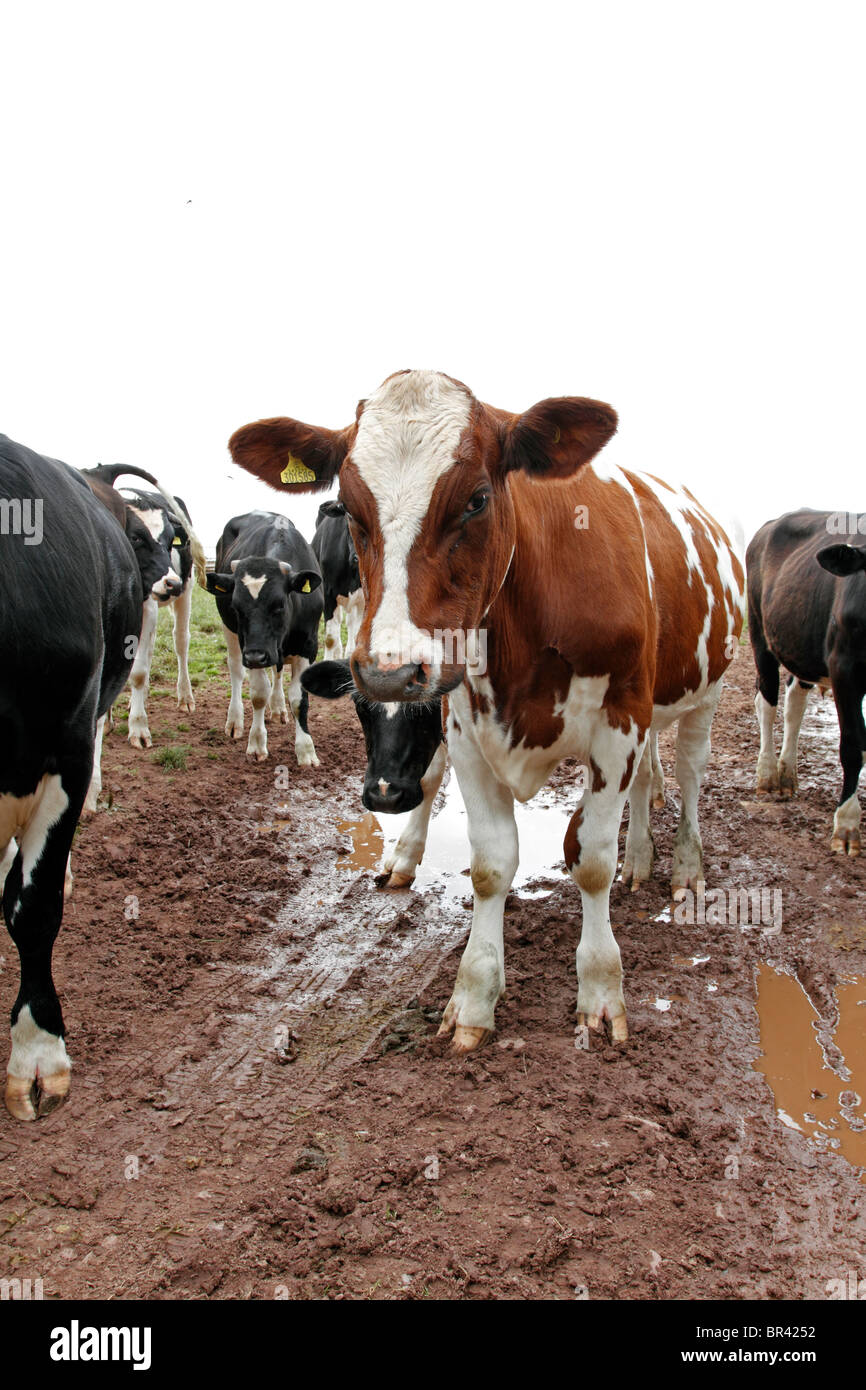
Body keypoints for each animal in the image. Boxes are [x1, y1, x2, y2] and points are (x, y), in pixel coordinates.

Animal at [206, 511, 323, 765]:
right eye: (237, 607)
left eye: (279, 605)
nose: (256, 657)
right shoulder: (249, 646)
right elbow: (259, 693)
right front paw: (257, 743)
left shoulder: (308, 645)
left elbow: (299, 699)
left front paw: (306, 749)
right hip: (233, 636)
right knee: (236, 671)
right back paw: (235, 720)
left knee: (277, 672)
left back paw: (278, 709)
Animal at [746, 509, 866, 856]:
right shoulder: (844, 668)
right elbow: (852, 744)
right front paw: (847, 825)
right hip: (760, 633)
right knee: (767, 701)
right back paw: (768, 775)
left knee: (794, 704)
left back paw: (787, 774)